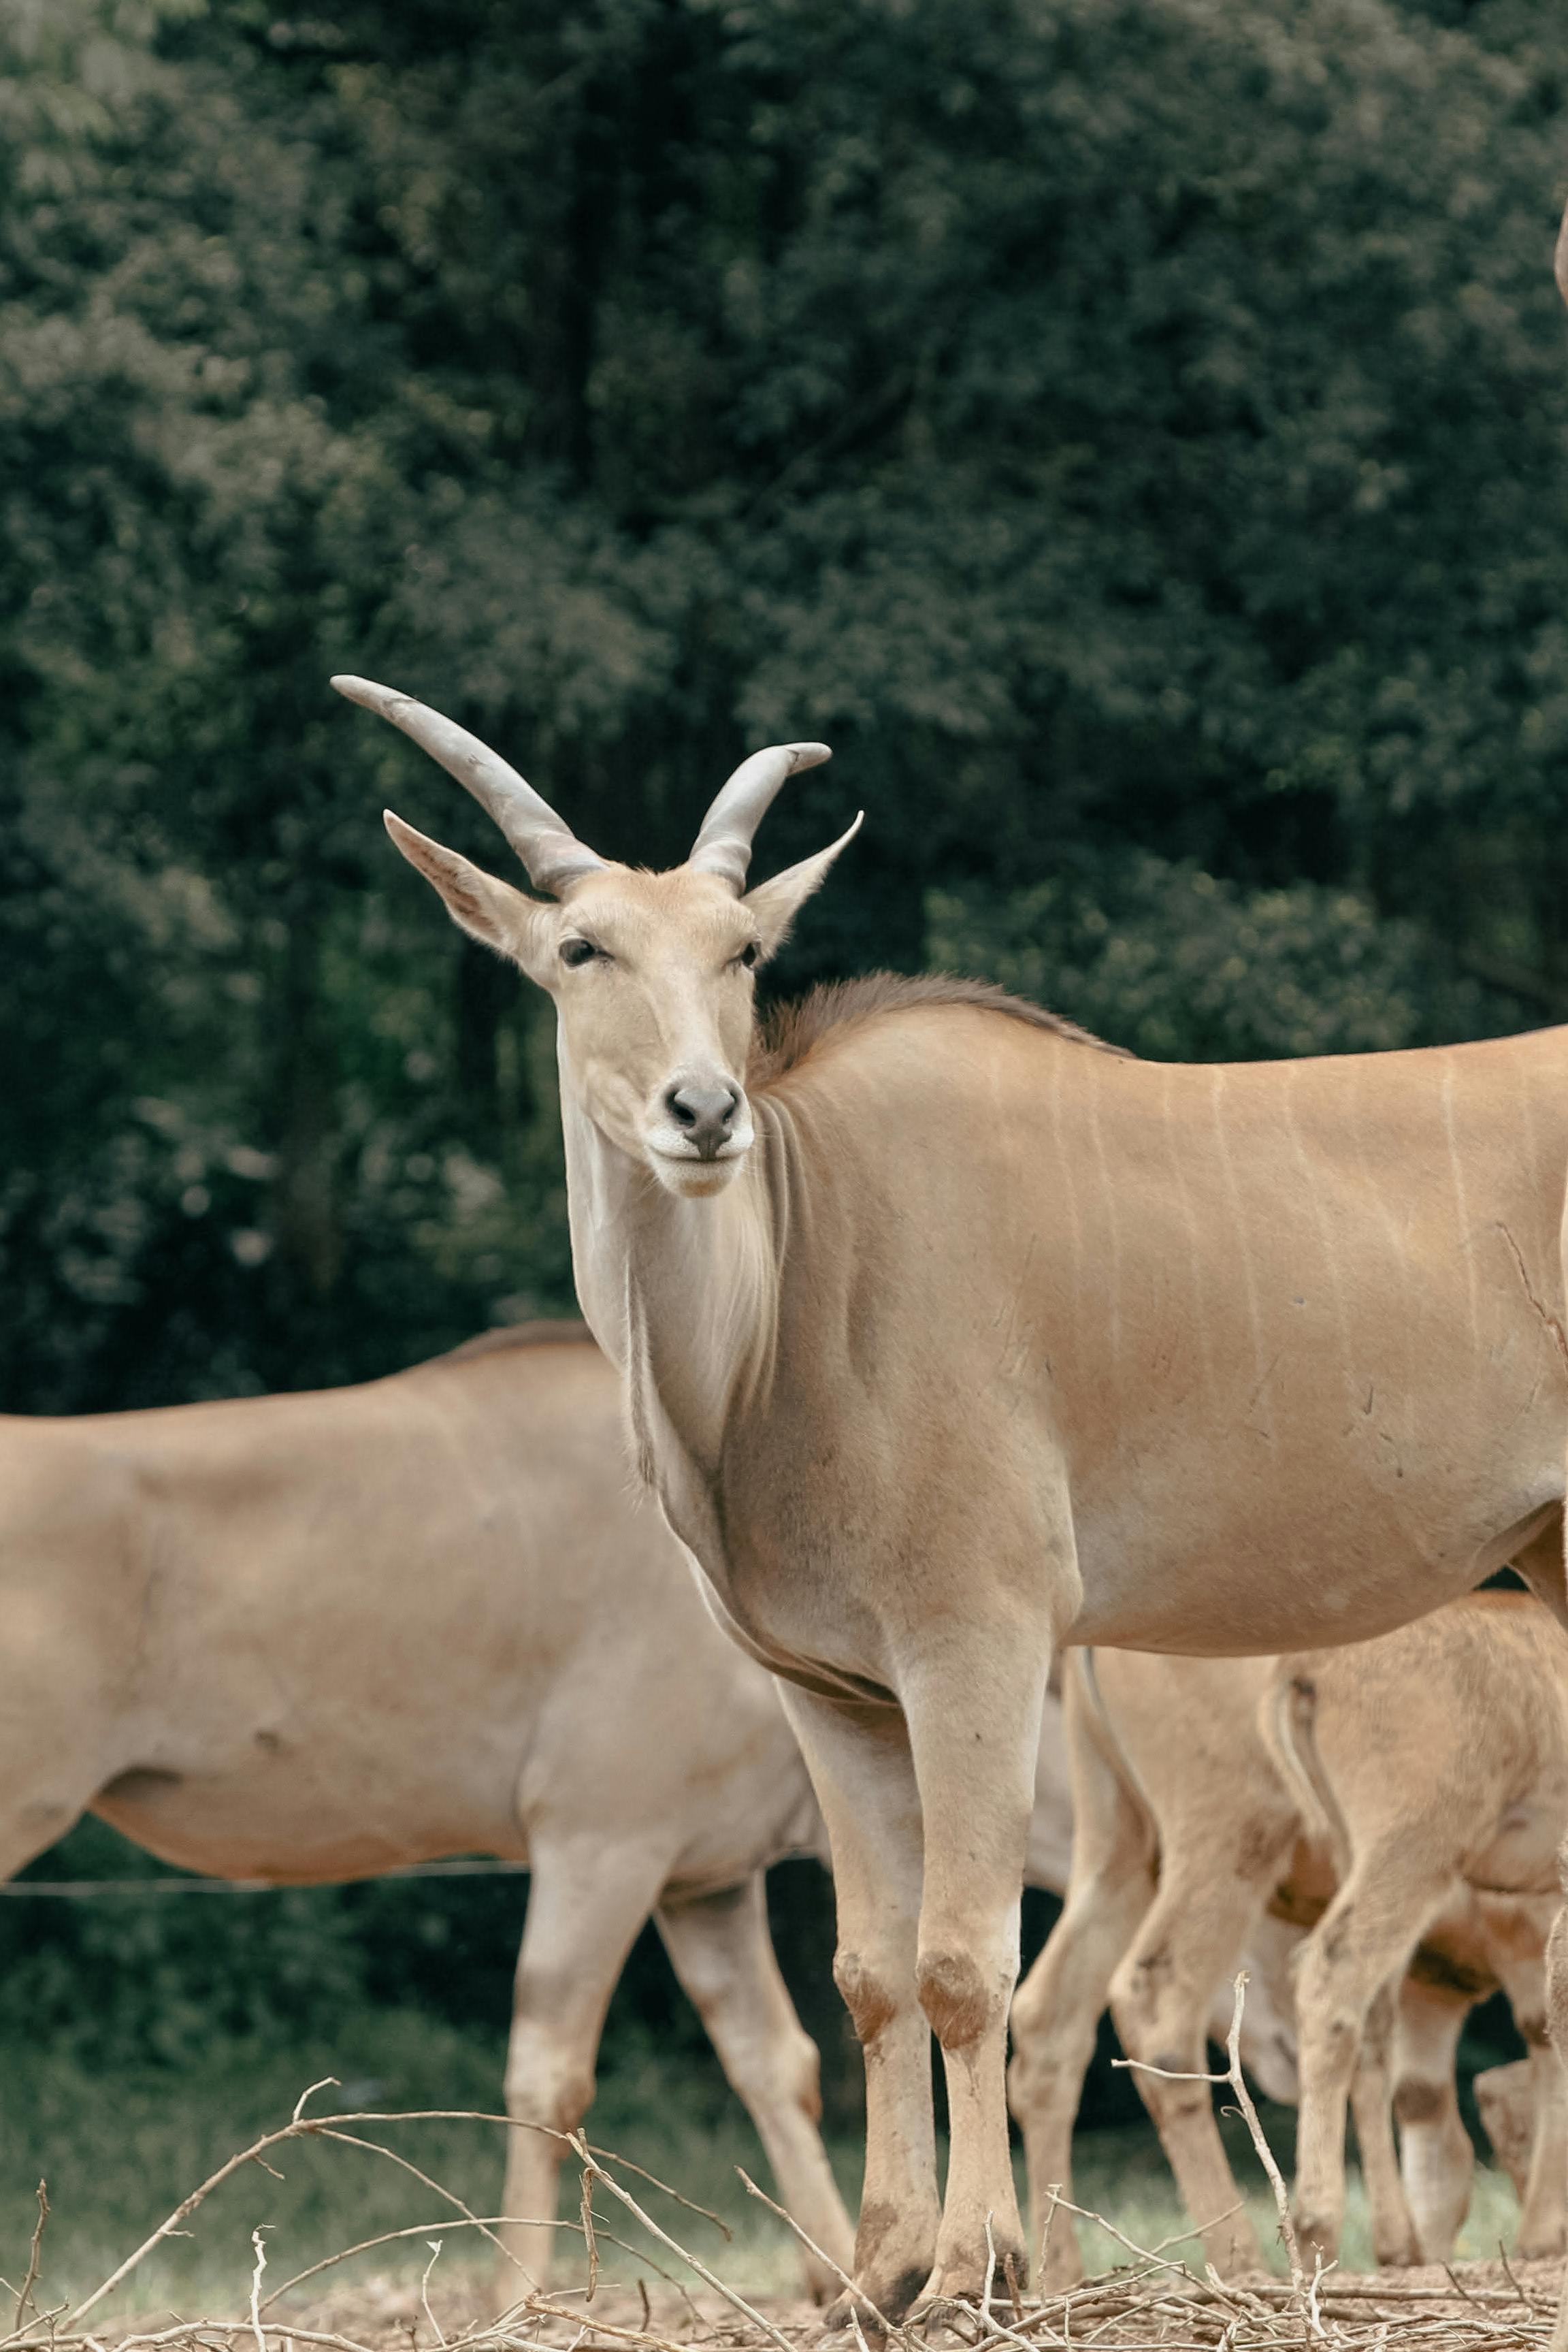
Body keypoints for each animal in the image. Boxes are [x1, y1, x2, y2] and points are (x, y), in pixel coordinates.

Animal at [1009, 1610, 1565, 2290]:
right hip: (1252, 1838)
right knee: (1176, 1998)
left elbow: (1421, 2102)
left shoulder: (1434, 1982)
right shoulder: (1515, 1923)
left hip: (1118, 1843)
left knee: (1046, 2020)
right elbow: (1536, 2032)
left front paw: (1416, 2246)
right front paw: (1539, 2234)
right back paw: (1255, 2253)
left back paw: (1057, 2270)